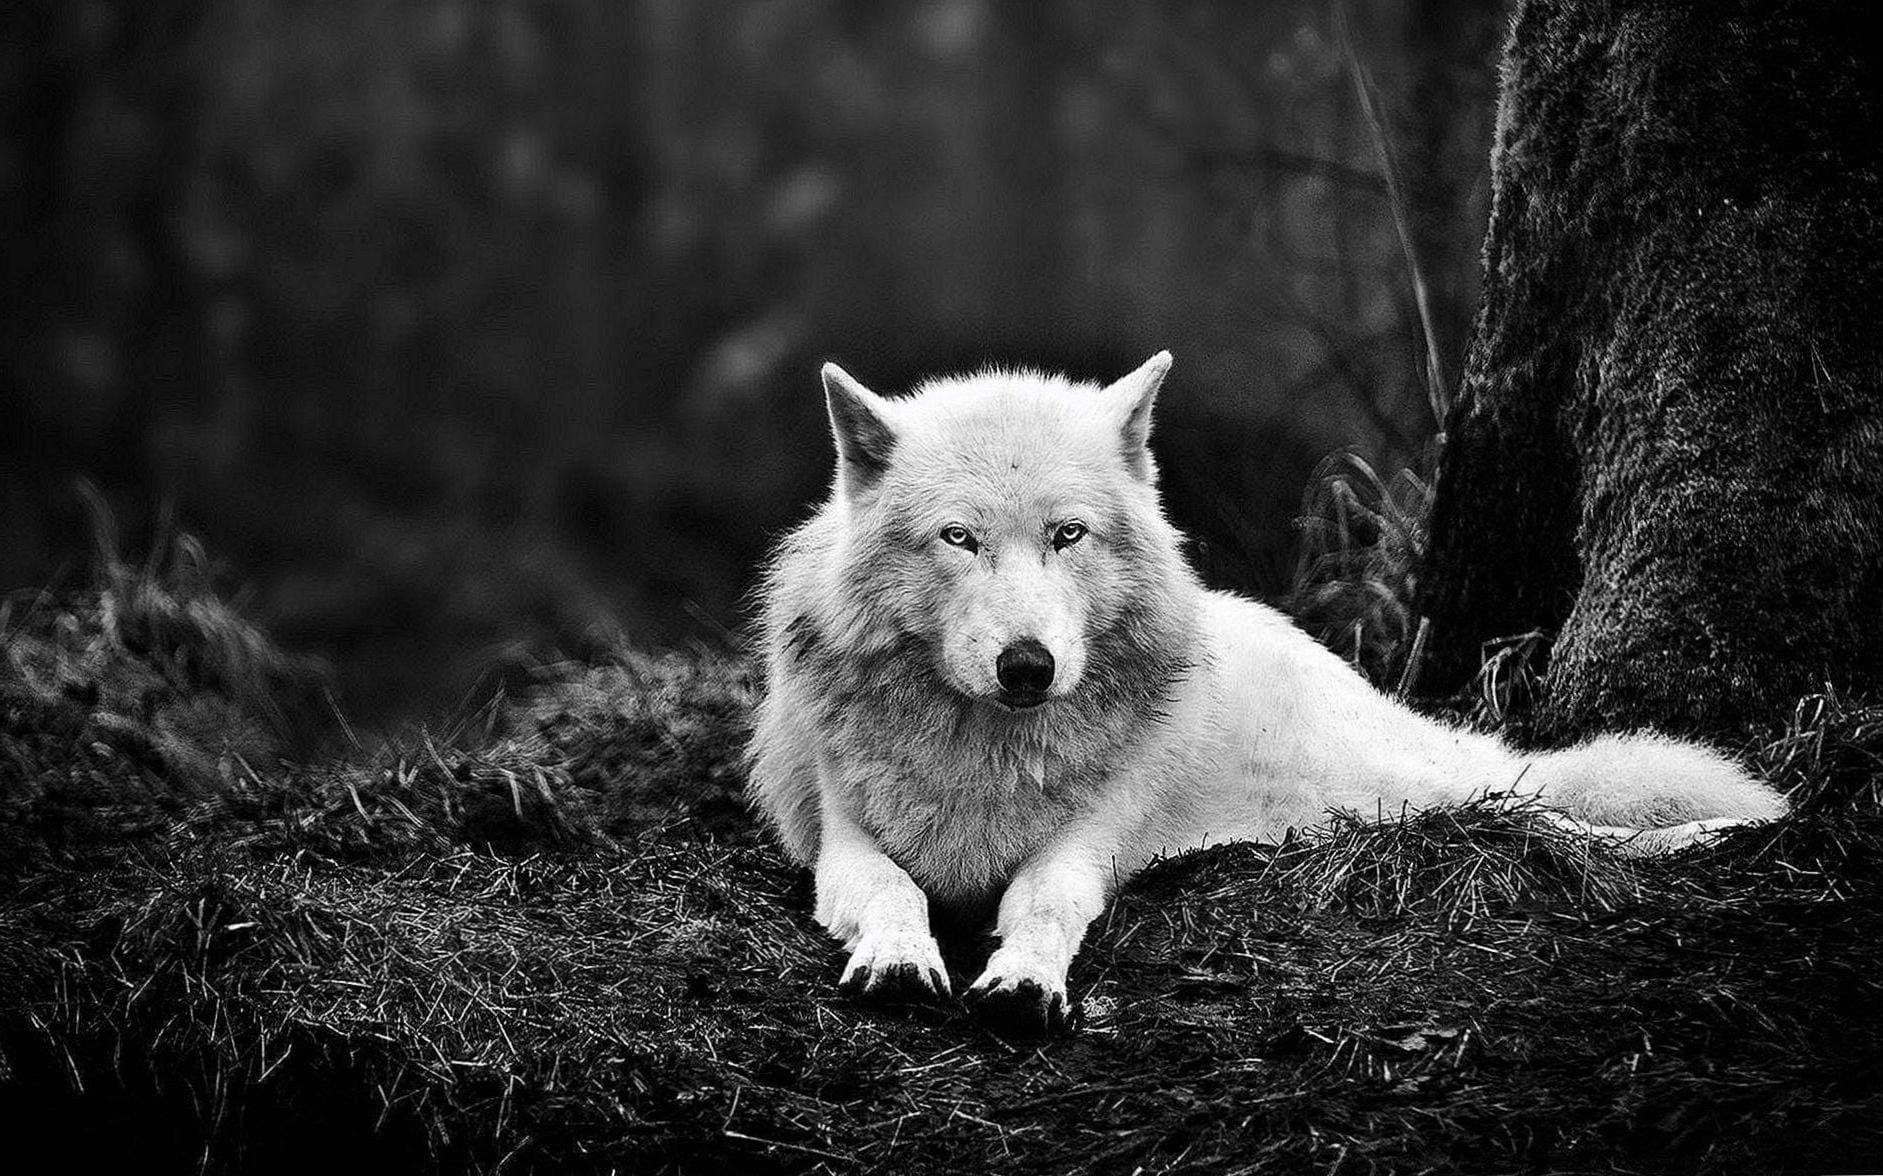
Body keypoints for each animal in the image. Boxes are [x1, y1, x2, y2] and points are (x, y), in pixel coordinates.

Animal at [747, 352, 1788, 1032]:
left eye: (1068, 535)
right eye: (957, 539)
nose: (1027, 666)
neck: (986, 752)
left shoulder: (1085, 846)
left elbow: (1042, 904)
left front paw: (1024, 984)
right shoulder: (843, 843)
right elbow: (892, 892)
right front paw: (898, 959)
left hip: (1404, 789)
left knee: (1543, 813)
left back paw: (1721, 831)